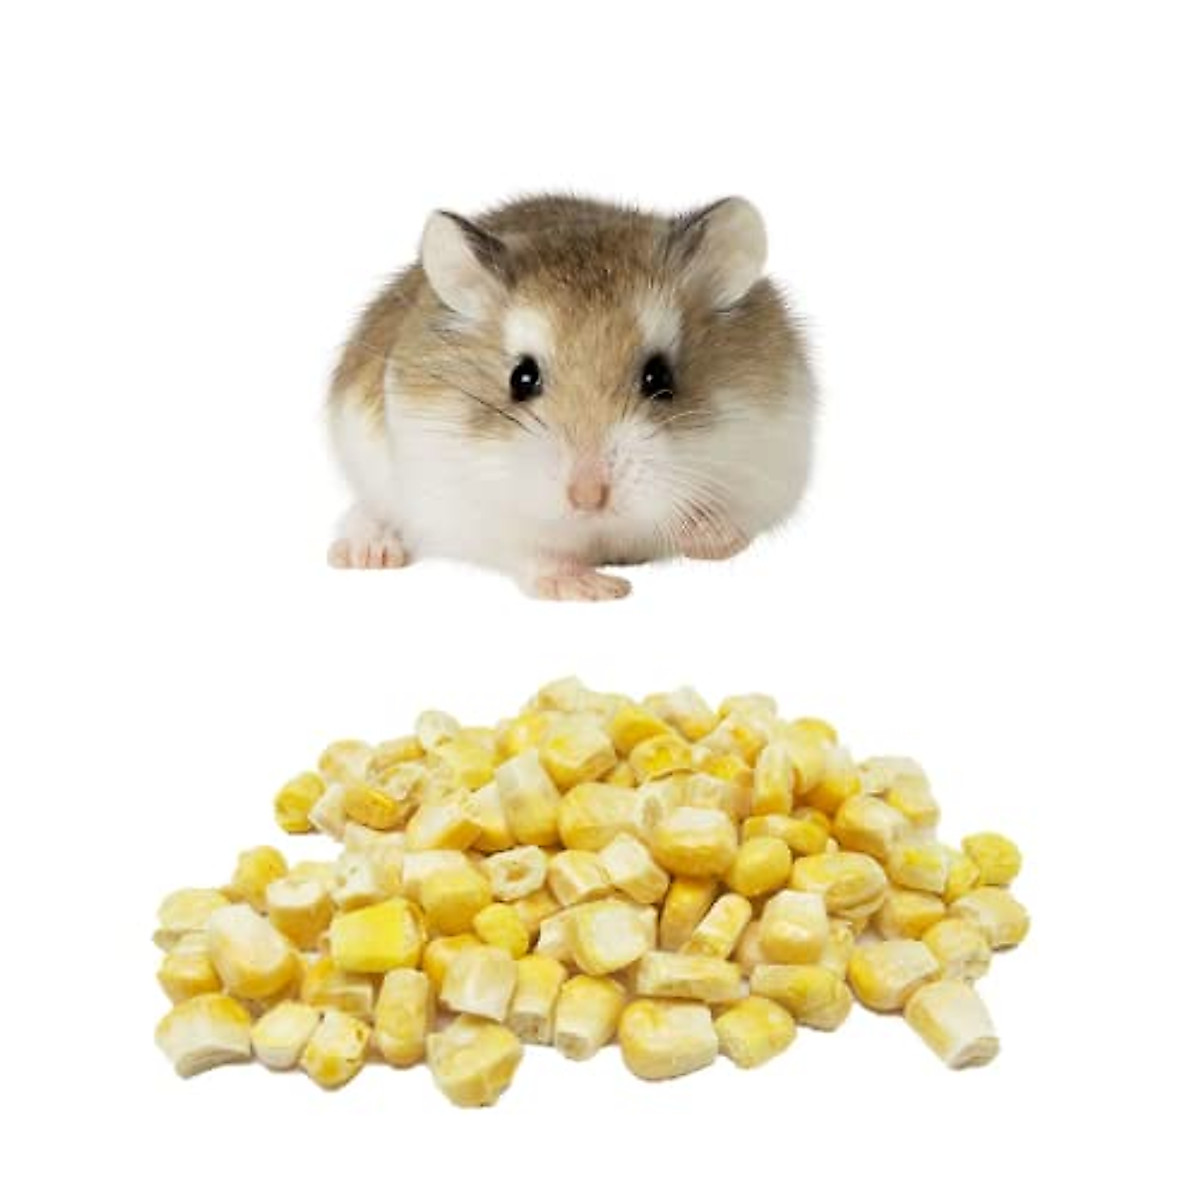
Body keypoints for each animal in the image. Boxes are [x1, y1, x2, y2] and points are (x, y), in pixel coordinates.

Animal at [327, 194, 815, 600]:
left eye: (660, 377)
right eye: (522, 379)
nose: (588, 498)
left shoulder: (771, 464)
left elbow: (736, 522)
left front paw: (703, 533)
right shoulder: (464, 506)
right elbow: (533, 552)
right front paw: (594, 589)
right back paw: (365, 553)